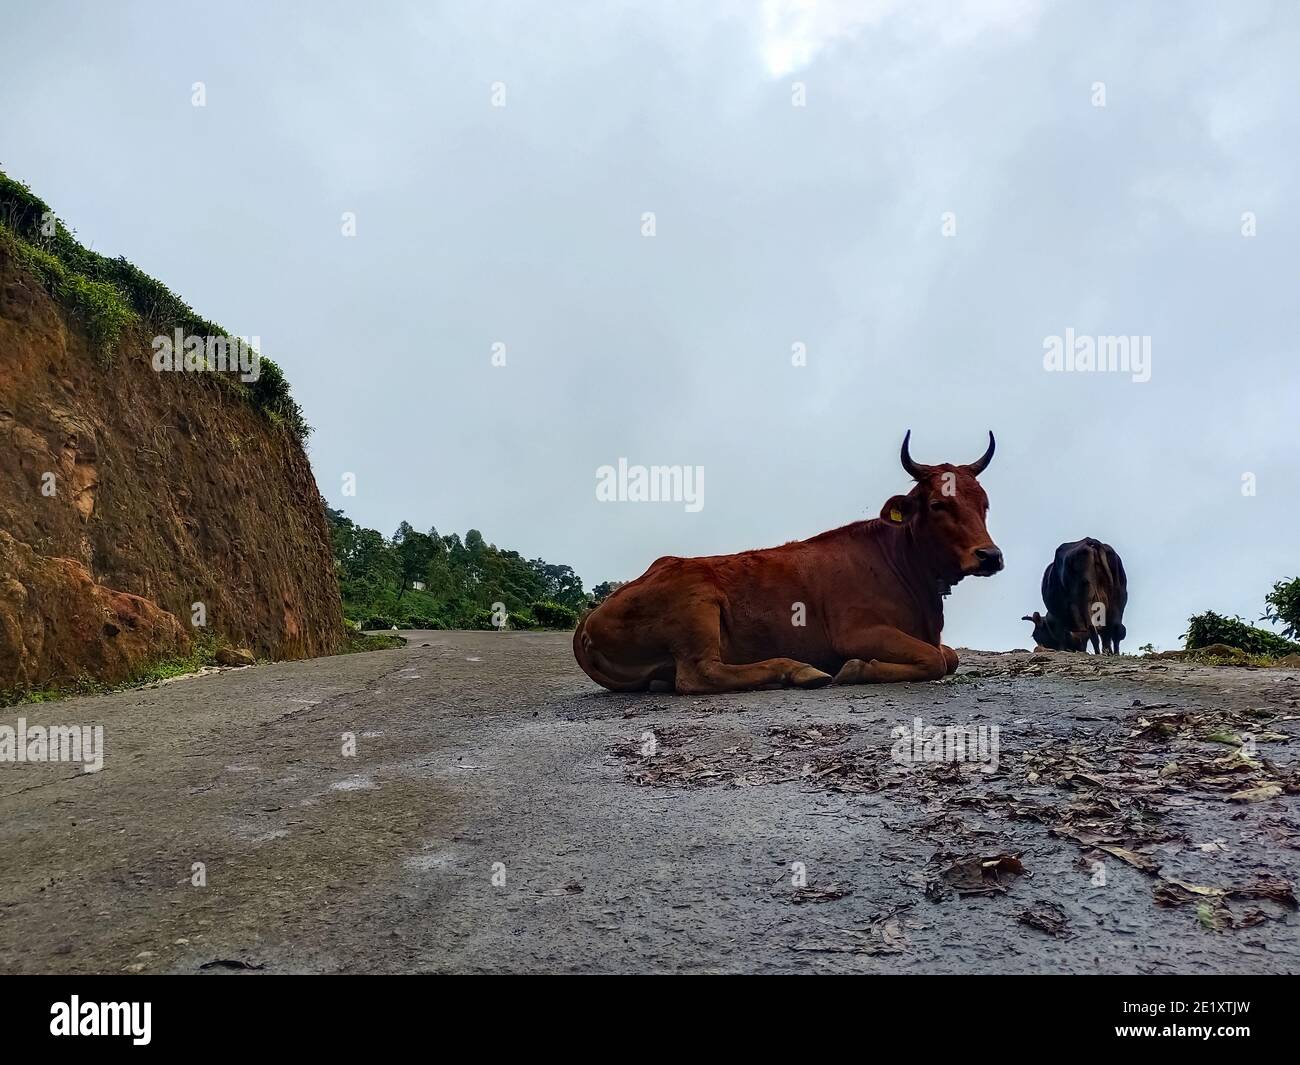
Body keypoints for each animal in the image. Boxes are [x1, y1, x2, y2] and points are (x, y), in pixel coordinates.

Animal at [574, 432, 1003, 694]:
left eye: (984, 503)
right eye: (938, 504)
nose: (991, 556)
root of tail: (590, 616)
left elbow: (949, 655)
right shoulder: (855, 631)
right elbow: (936, 658)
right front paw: (856, 669)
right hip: (696, 599)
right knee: (700, 674)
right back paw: (796, 670)